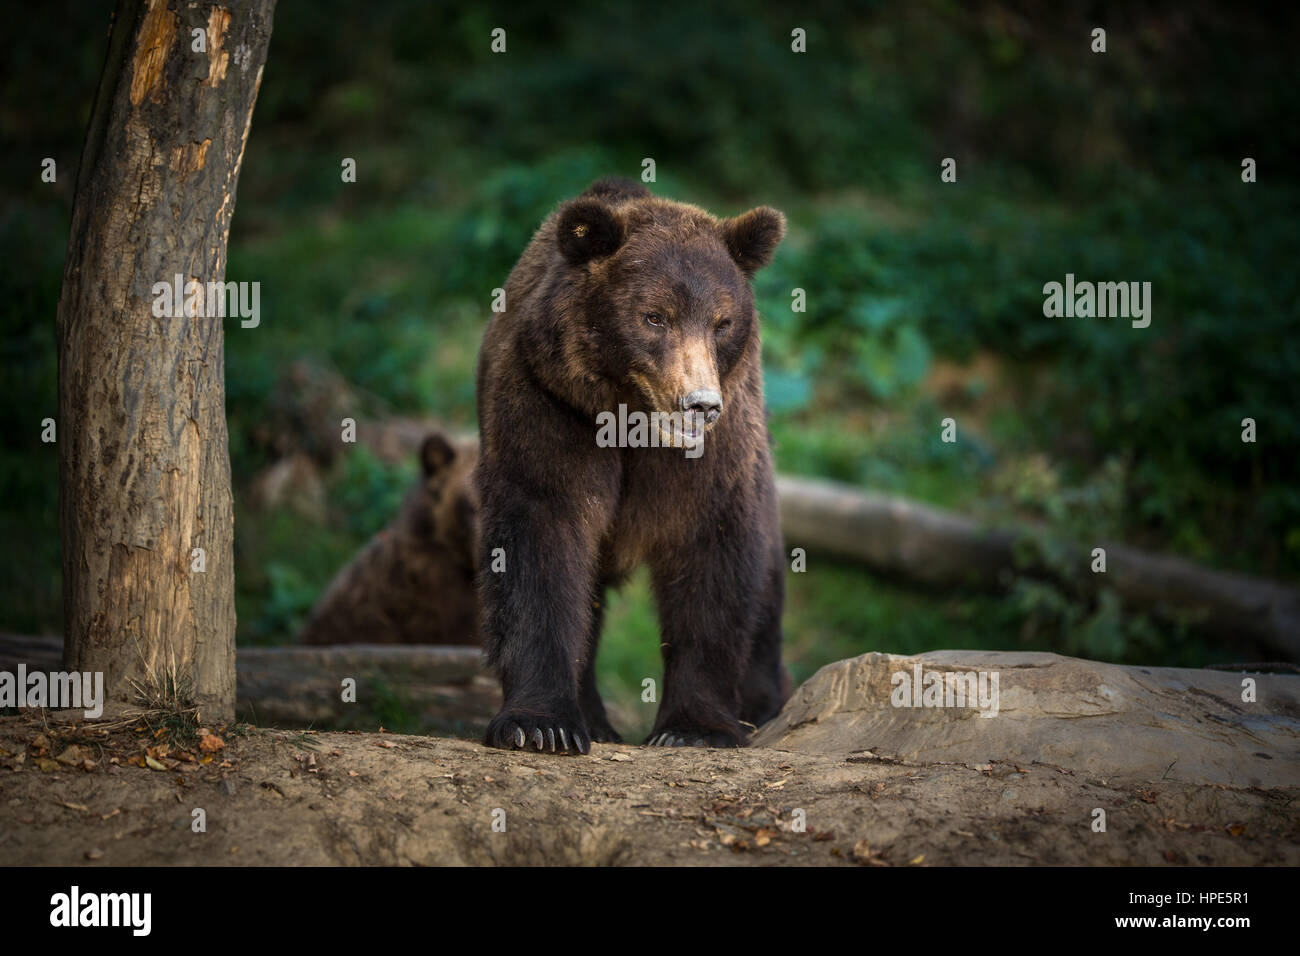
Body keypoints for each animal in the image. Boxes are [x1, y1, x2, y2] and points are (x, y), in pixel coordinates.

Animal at [475, 176, 789, 754]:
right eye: (654, 316)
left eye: (722, 322)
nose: (700, 404)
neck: (632, 420)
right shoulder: (550, 405)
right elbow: (539, 543)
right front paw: (541, 724)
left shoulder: (715, 456)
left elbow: (713, 557)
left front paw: (695, 728)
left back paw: (761, 707)